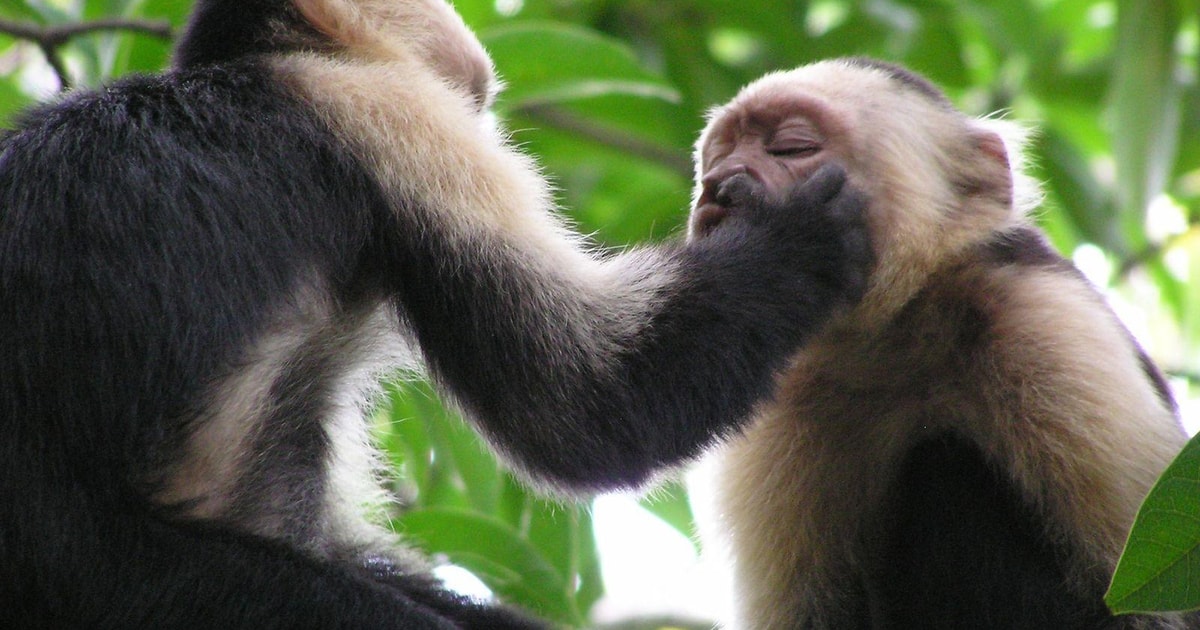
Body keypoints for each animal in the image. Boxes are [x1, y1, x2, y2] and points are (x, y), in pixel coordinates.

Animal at [689, 57, 1193, 629]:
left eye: (792, 147)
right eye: (717, 159)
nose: (719, 186)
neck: (895, 340)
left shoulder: (1045, 320)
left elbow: (1146, 605)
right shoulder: (781, 405)